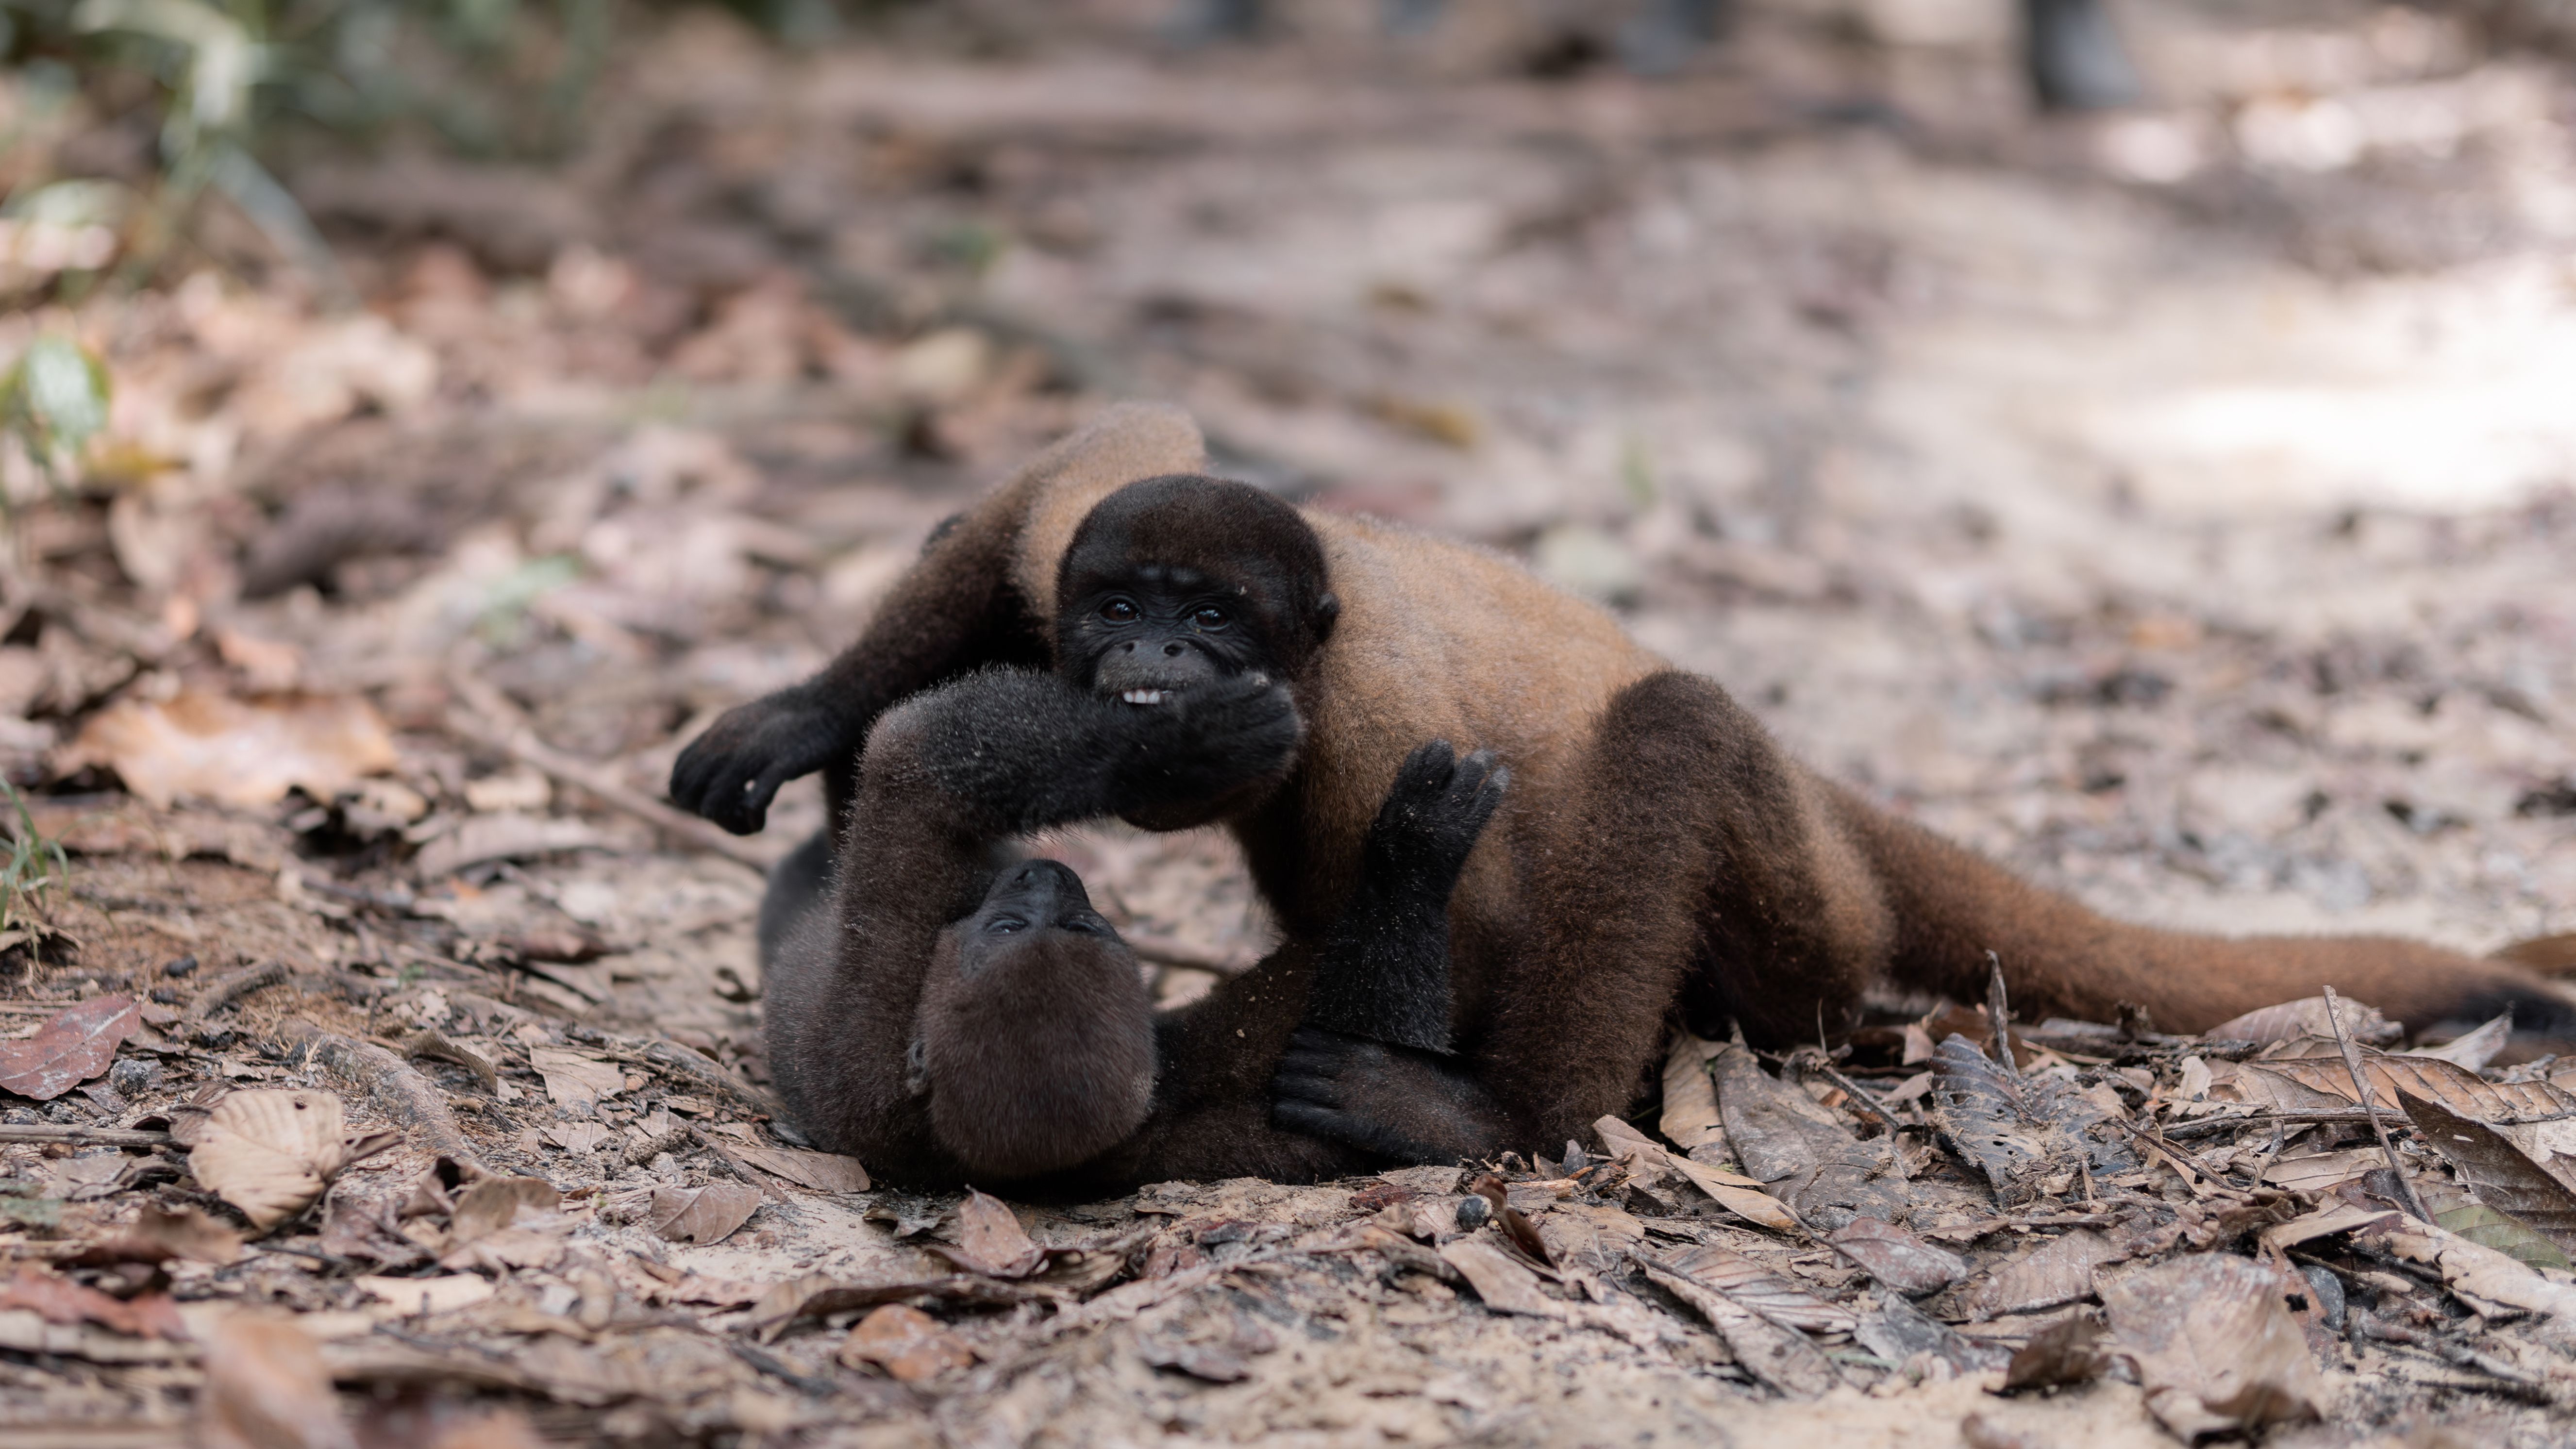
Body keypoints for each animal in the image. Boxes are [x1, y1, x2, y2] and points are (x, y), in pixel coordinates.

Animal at [759, 652, 1505, 1185]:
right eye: (1006, 929)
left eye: (1078, 928)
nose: (1047, 877)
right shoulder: (889, 983)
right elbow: (912, 753)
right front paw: (1182, 747)